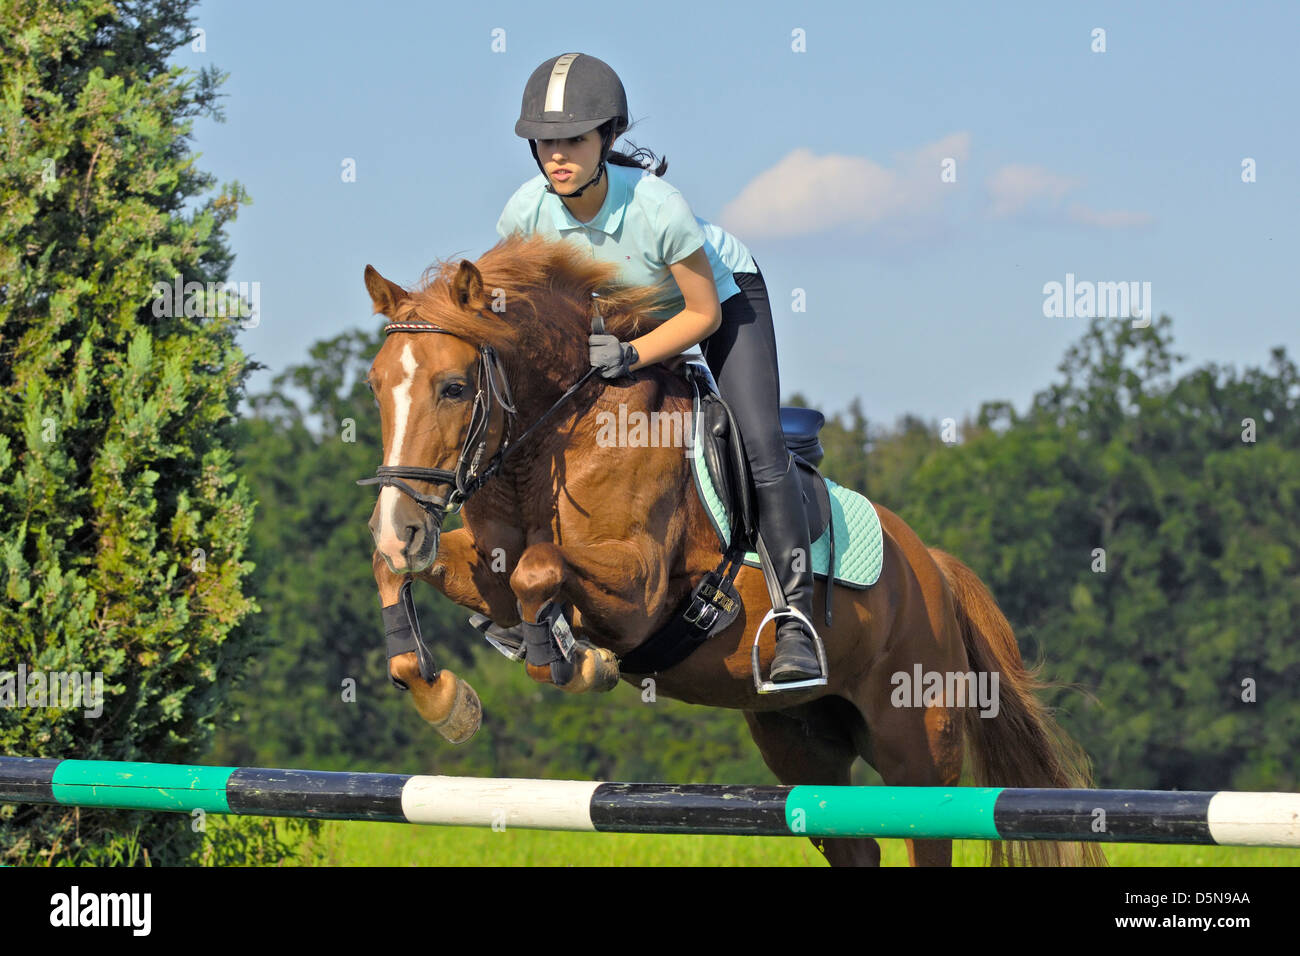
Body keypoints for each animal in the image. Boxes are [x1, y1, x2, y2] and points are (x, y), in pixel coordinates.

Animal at [359, 233, 1105, 867]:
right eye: (375, 385)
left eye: (454, 388)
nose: (400, 524)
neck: (555, 437)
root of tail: (934, 569)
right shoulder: (486, 562)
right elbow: (412, 573)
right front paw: (445, 698)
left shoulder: (638, 595)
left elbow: (542, 572)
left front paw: (574, 660)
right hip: (802, 745)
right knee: (854, 841)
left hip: (915, 746)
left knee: (927, 835)